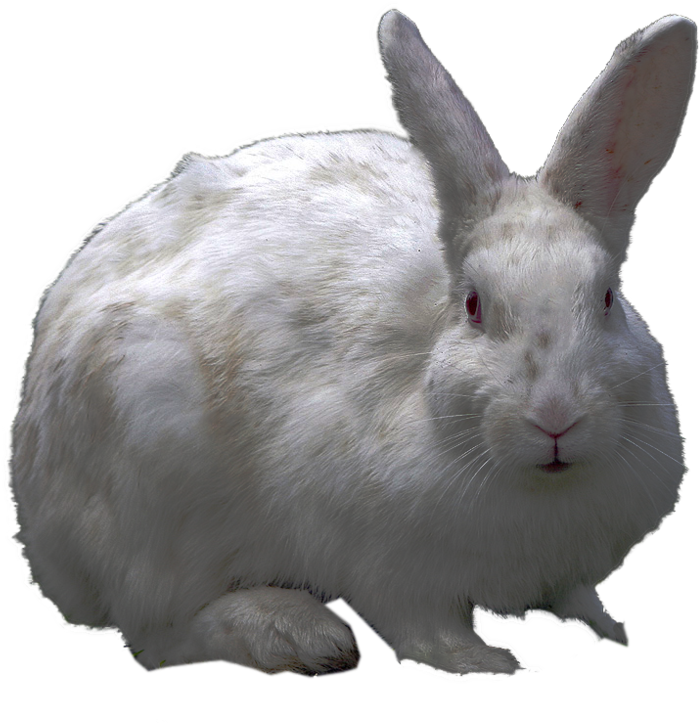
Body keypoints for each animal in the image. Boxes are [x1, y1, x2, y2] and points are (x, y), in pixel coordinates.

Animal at [7, 8, 695, 678]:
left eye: (606, 298)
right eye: (474, 305)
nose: (556, 419)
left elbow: (573, 594)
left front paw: (604, 626)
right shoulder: (392, 569)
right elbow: (423, 630)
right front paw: (484, 663)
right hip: (147, 475)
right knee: (159, 633)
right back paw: (296, 636)